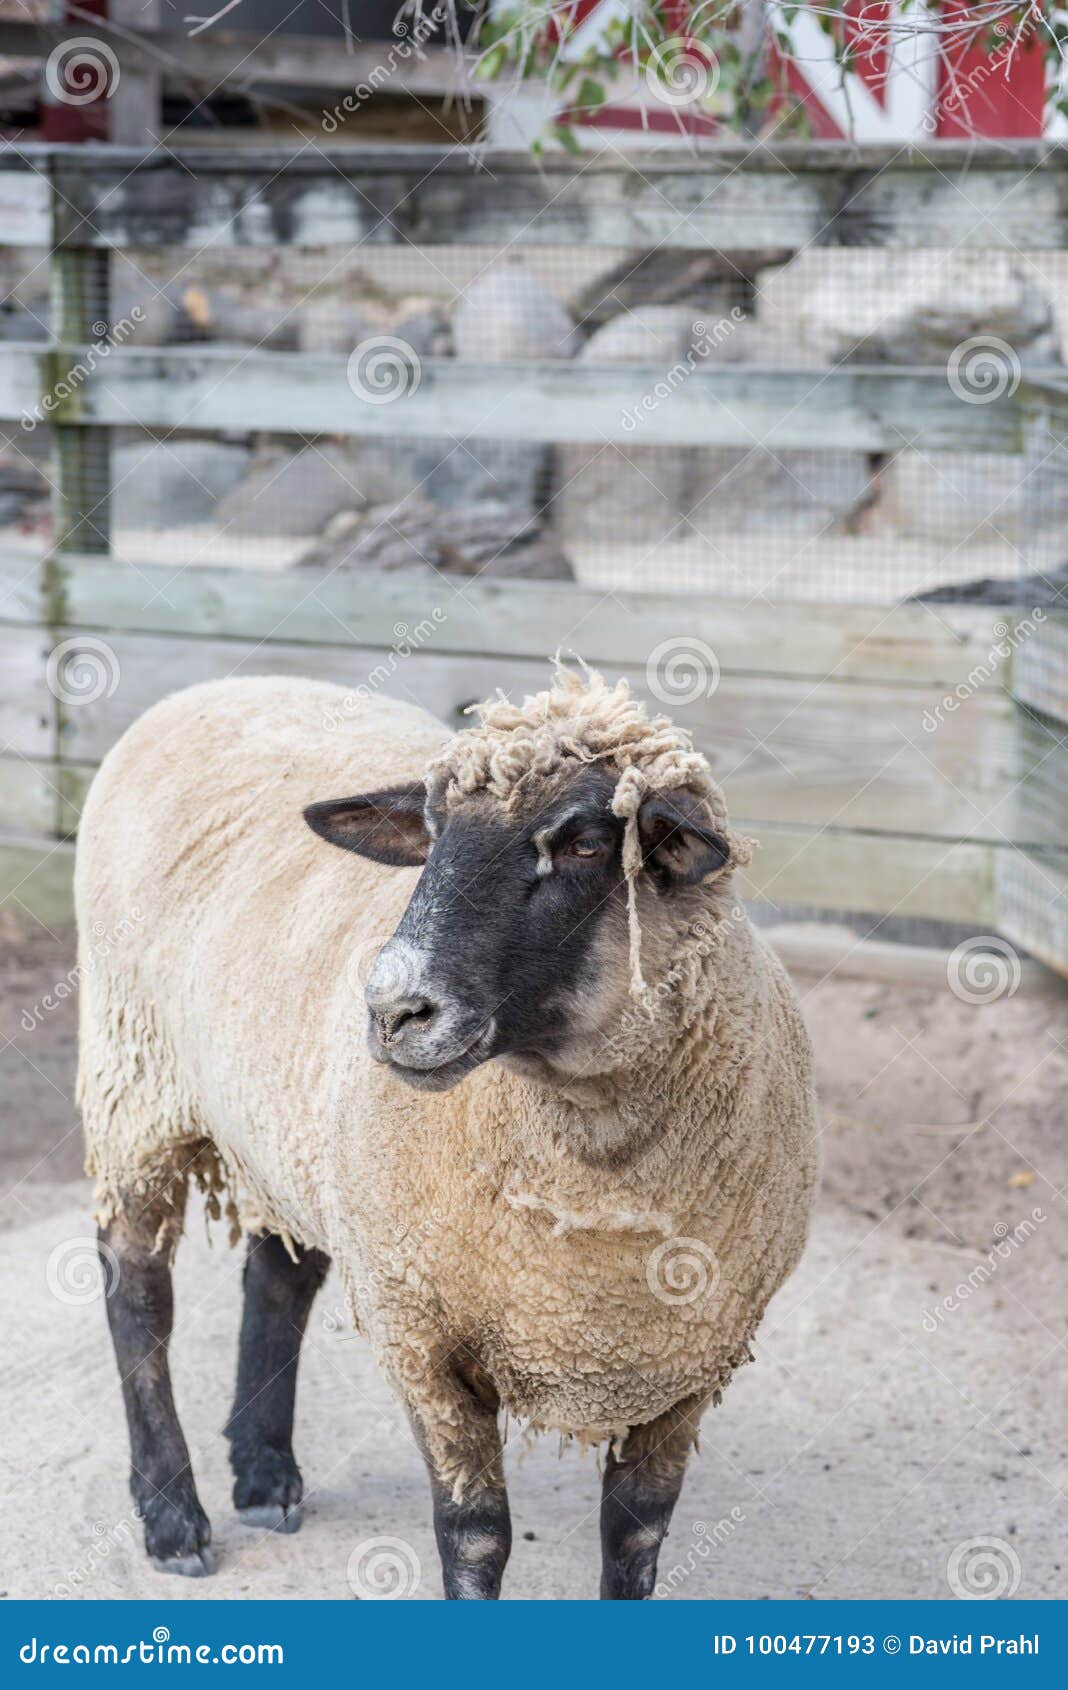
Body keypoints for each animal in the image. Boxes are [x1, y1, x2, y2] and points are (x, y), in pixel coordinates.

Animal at [76, 662, 820, 1599]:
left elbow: (635, 1540)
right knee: (136, 1292)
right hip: (133, 1081)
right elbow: (473, 1537)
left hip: (296, 1130)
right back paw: (173, 1515)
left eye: (585, 844)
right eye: (429, 836)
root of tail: (221, 683)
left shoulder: (692, 1366)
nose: (393, 1010)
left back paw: (265, 1474)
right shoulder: (424, 1340)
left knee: (276, 1277)